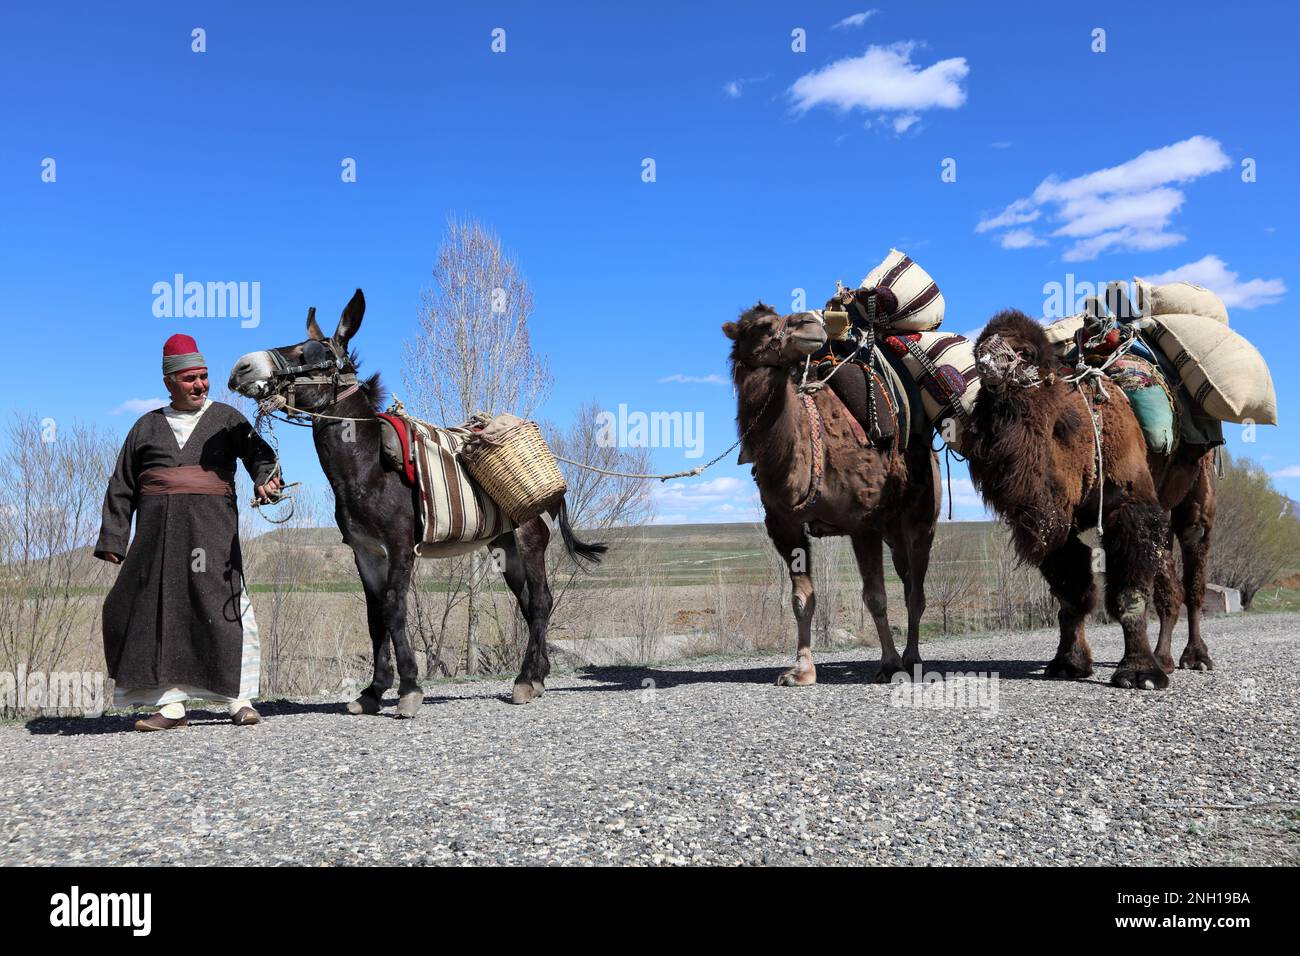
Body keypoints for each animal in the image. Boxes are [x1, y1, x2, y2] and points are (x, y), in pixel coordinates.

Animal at [723, 304, 940, 685]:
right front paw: (801, 670)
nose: (811, 324)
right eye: (762, 325)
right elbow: (802, 598)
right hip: (893, 529)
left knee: (916, 590)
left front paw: (889, 664)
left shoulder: (863, 521)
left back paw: (912, 658)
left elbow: (875, 597)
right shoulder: (784, 525)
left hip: (921, 519)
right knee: (907, 579)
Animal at [967, 309, 1171, 690]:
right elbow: (1072, 593)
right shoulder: (1054, 522)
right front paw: (1068, 664)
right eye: (978, 347)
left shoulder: (1129, 507)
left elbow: (1129, 593)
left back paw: (1185, 659)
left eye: (1025, 352)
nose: (986, 363)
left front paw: (1141, 673)